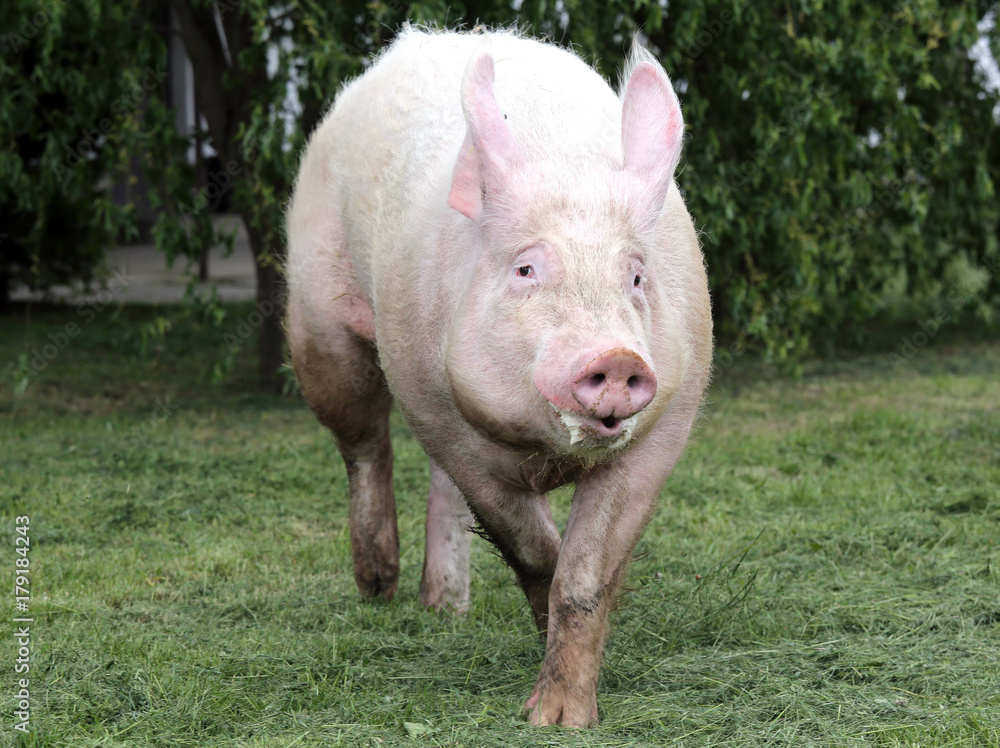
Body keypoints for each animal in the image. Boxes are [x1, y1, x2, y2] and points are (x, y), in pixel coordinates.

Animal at [285, 26, 712, 728]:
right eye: (526, 269)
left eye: (636, 276)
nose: (618, 358)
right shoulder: (447, 420)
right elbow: (534, 553)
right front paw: (542, 712)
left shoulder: (666, 427)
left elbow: (583, 576)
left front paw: (567, 718)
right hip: (320, 319)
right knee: (365, 441)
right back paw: (378, 588)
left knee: (432, 482)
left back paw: (443, 609)